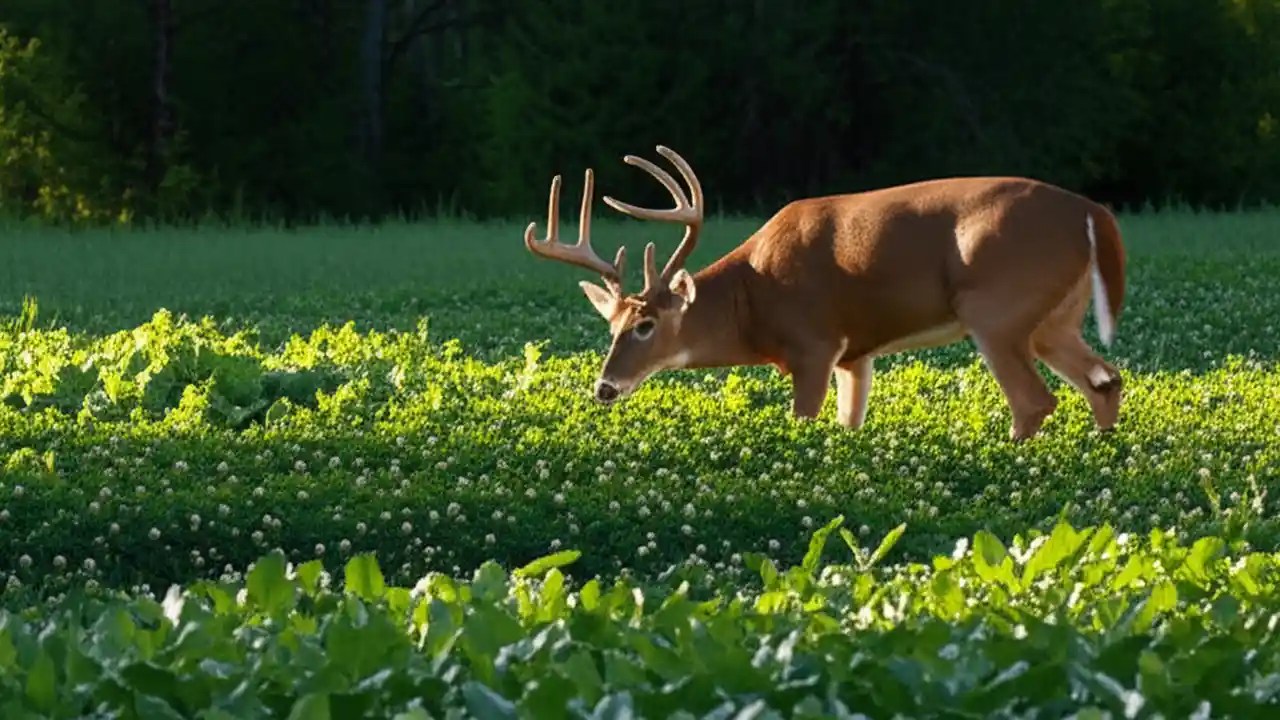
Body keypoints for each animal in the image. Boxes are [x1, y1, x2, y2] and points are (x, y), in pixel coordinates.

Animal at [521, 145, 1126, 441]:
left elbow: (805, 421)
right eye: (612, 325)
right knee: (1106, 381)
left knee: (1035, 400)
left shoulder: (812, 344)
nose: (604, 388)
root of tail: (1093, 213)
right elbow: (848, 423)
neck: (751, 300)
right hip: (1053, 319)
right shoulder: (854, 356)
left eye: (646, 325)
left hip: (998, 309)